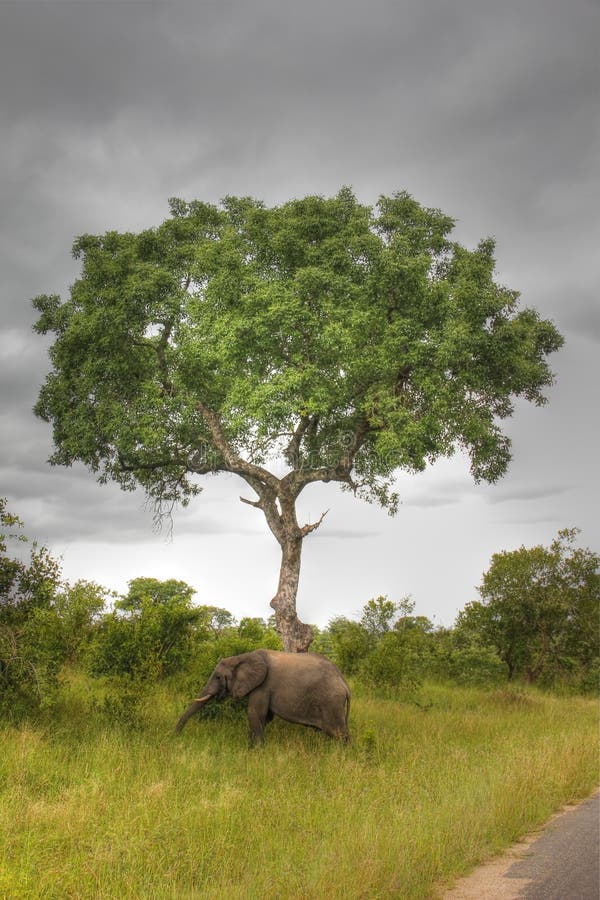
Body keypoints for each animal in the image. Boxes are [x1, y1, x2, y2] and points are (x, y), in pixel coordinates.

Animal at [175, 649, 351, 745]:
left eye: (218, 677)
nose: (175, 736)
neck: (242, 657)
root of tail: (344, 683)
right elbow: (264, 718)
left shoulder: (263, 685)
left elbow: (255, 714)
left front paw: (256, 753)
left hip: (331, 702)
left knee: (339, 733)